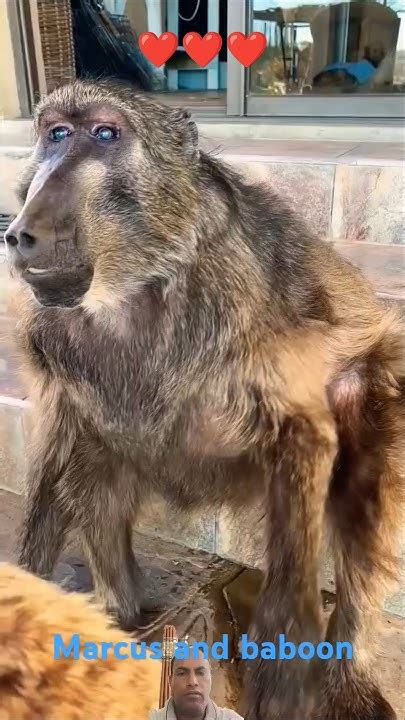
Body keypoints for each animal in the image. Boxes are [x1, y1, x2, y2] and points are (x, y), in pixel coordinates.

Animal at [4, 79, 404, 720]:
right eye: (55, 134)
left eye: (106, 134)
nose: (22, 232)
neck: (134, 292)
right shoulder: (51, 338)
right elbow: (59, 445)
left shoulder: (238, 298)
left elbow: (308, 432)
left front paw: (285, 678)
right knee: (97, 466)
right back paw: (121, 618)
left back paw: (346, 672)